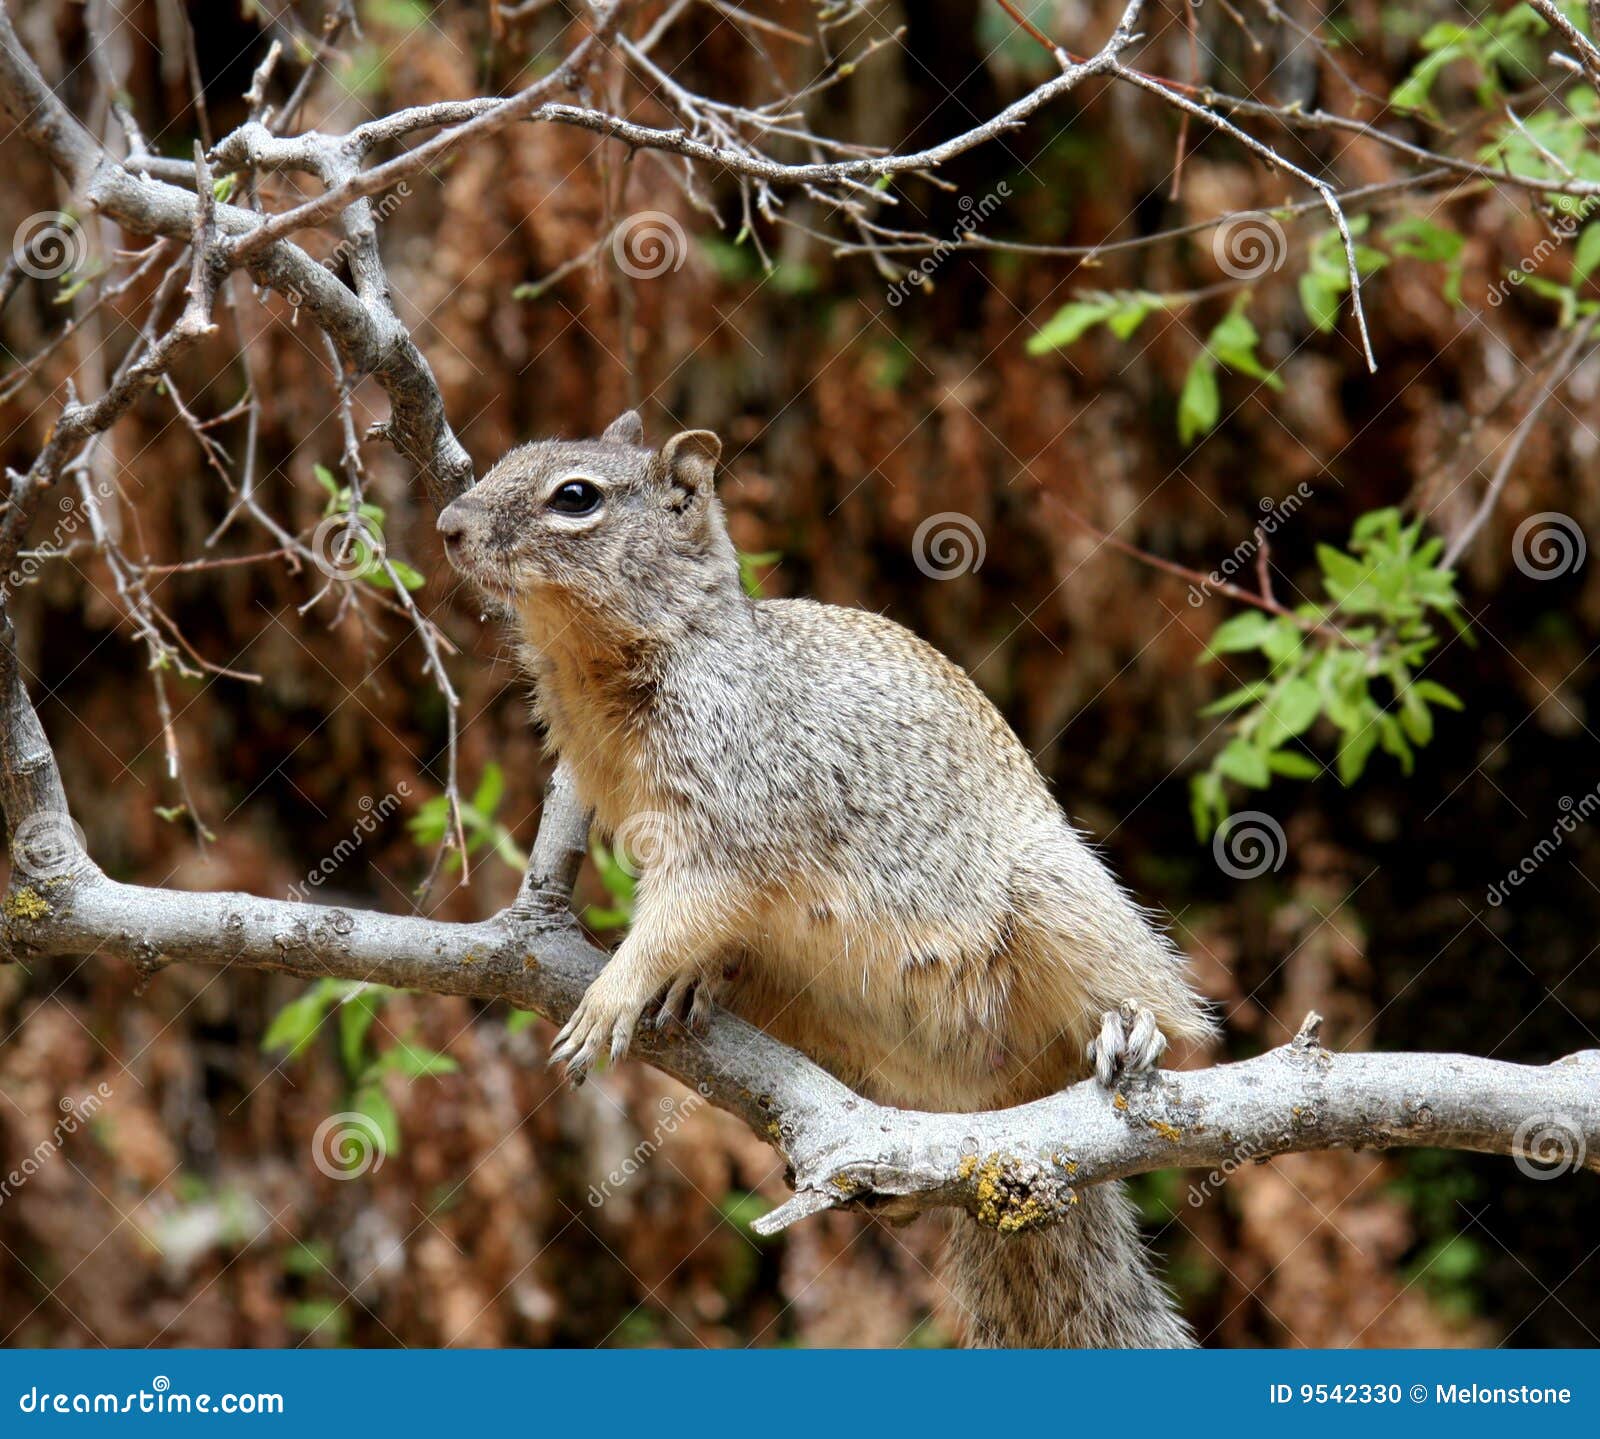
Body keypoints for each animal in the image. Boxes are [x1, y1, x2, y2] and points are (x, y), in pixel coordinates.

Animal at [438, 411, 1215, 1348]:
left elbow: (685, 908)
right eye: (513, 458)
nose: (447, 526)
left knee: (1149, 999)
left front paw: (614, 992)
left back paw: (1130, 1030)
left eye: (576, 497)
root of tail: (1002, 1109)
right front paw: (687, 973)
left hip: (1062, 902)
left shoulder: (730, 814)